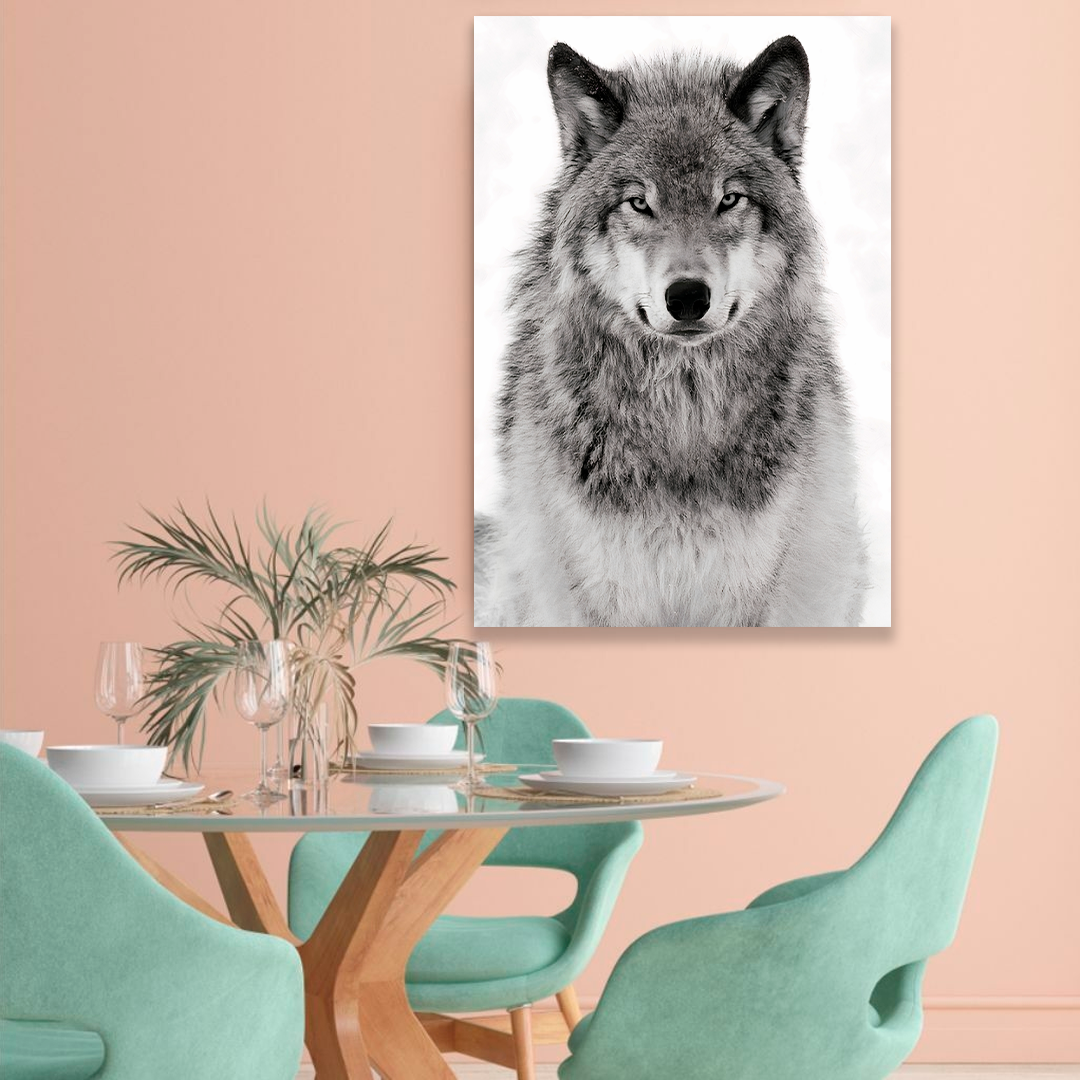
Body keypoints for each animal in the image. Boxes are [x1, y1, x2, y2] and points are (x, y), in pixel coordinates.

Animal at [475, 36, 867, 627]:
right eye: (640, 202)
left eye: (729, 199)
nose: (686, 297)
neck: (682, 415)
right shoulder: (605, 592)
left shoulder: (745, 591)